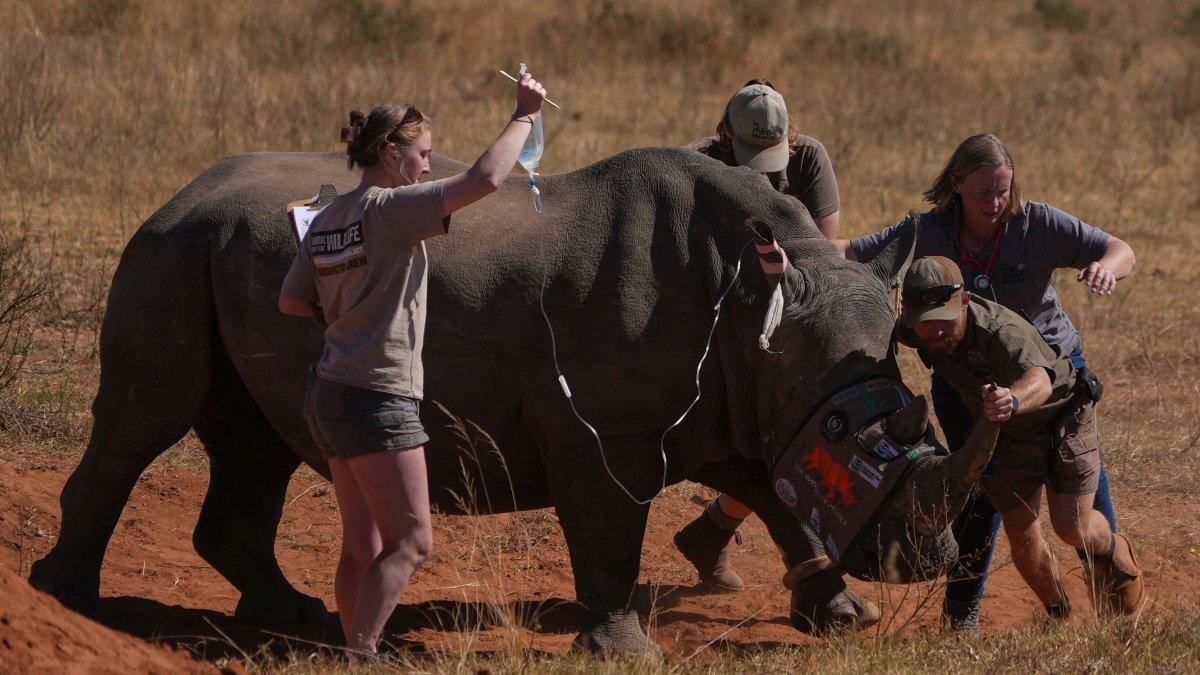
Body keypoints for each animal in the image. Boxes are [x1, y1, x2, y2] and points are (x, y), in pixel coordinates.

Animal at [30, 146, 997, 655]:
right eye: (849, 430)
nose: (924, 561)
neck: (759, 304)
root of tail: (179, 191)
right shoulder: (612, 427)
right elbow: (610, 528)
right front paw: (623, 651)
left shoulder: (750, 405)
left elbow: (786, 502)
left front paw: (843, 617)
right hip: (168, 249)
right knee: (142, 419)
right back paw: (68, 602)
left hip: (219, 253)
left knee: (257, 441)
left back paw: (289, 616)